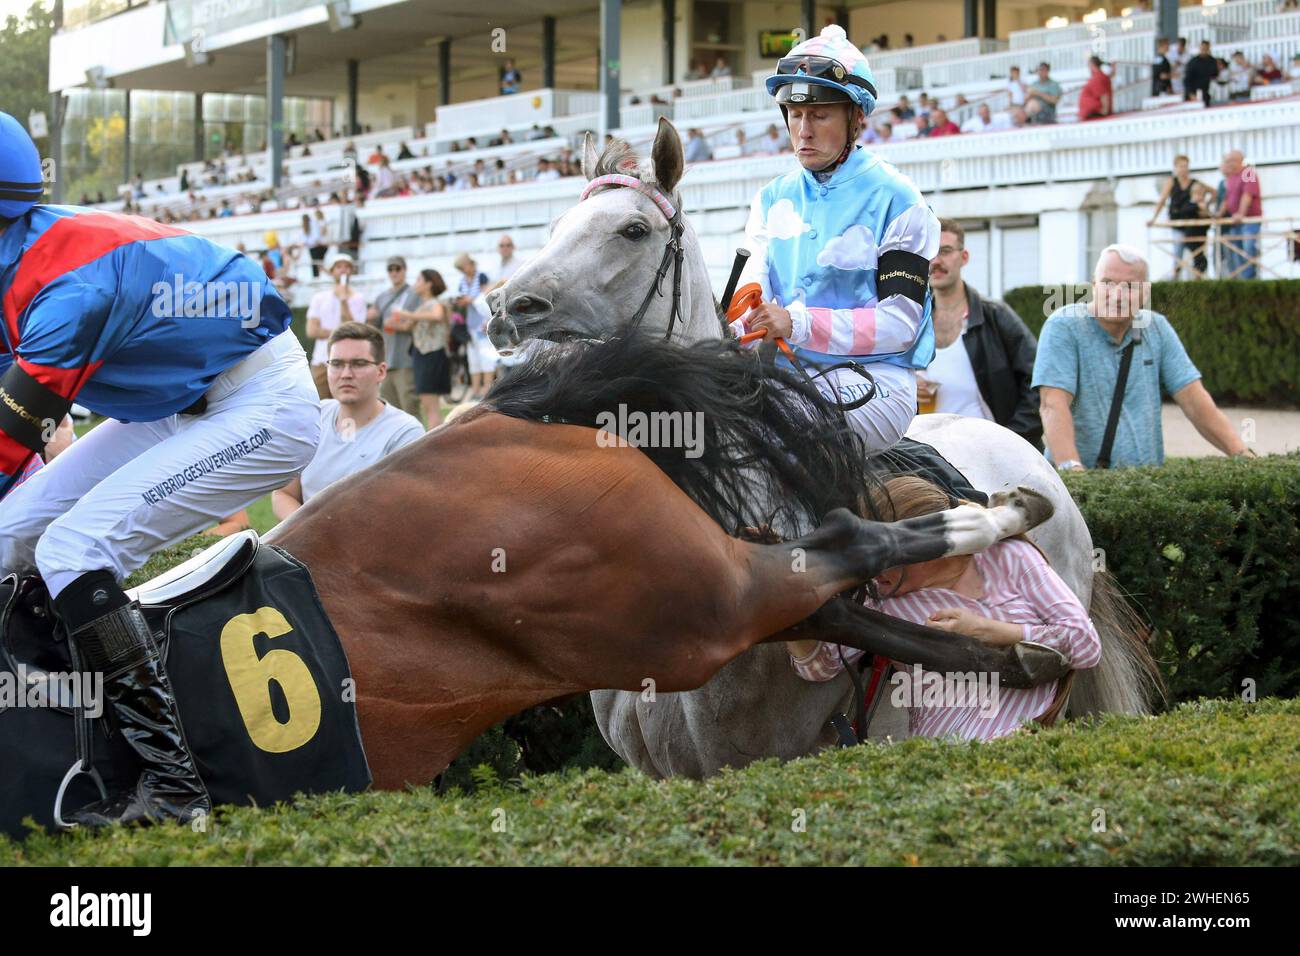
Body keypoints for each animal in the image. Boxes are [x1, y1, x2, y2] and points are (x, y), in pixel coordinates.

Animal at [0, 334, 1061, 836]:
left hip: (679, 615)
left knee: (838, 544)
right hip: (683, 607)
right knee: (832, 597)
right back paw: (1017, 658)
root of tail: (495, 416)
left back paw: (1005, 518)